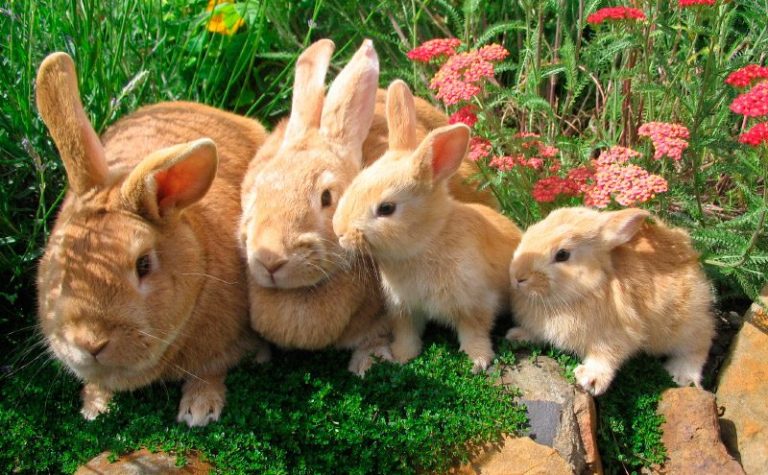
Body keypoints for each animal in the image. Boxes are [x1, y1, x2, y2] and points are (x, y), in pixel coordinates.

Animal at [35, 52, 269, 427]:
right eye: (60, 258)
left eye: (143, 265)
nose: (91, 343)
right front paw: (94, 408)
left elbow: (211, 371)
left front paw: (199, 411)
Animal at [332, 80, 523, 373]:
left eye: (386, 209)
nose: (339, 232)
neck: (427, 241)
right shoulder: (405, 308)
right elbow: (407, 333)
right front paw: (401, 356)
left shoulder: (475, 303)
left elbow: (474, 332)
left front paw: (478, 361)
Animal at [506, 206, 715, 396]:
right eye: (532, 230)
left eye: (562, 254)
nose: (517, 276)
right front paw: (516, 335)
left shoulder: (615, 335)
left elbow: (605, 357)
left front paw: (590, 380)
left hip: (684, 324)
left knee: (700, 342)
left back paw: (681, 375)